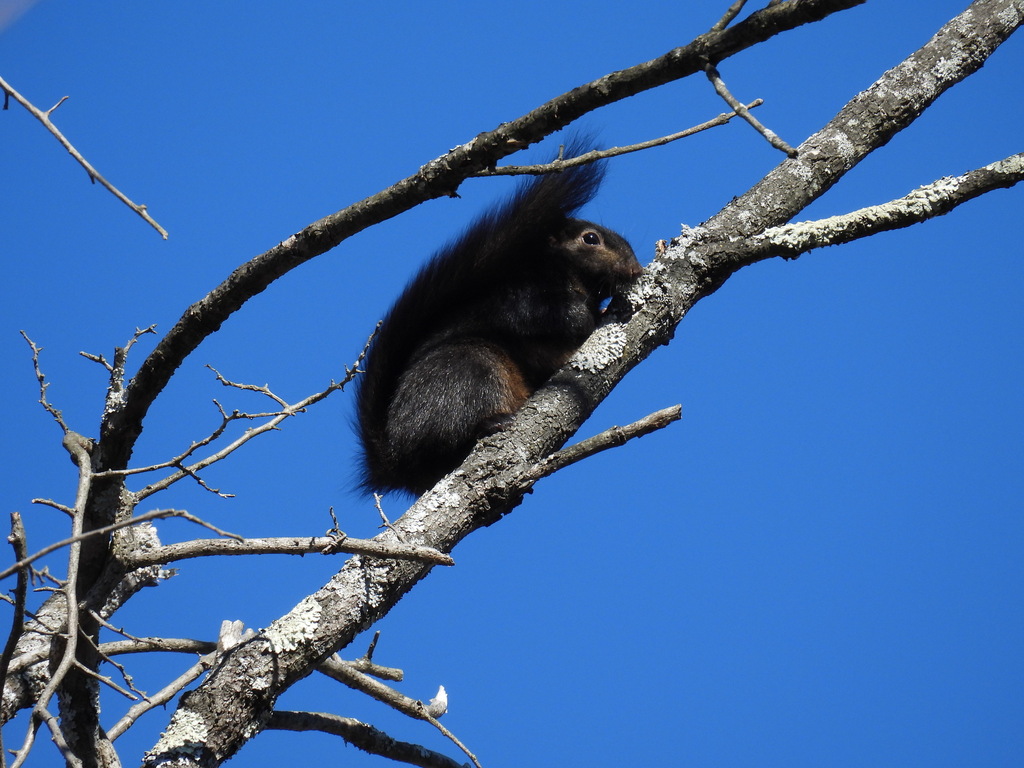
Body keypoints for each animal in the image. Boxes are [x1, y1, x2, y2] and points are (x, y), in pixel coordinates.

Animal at [355, 143, 642, 495]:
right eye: (590, 239)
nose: (635, 269)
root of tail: (396, 456)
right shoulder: (524, 299)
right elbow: (567, 319)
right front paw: (601, 312)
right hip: (466, 373)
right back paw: (490, 423)